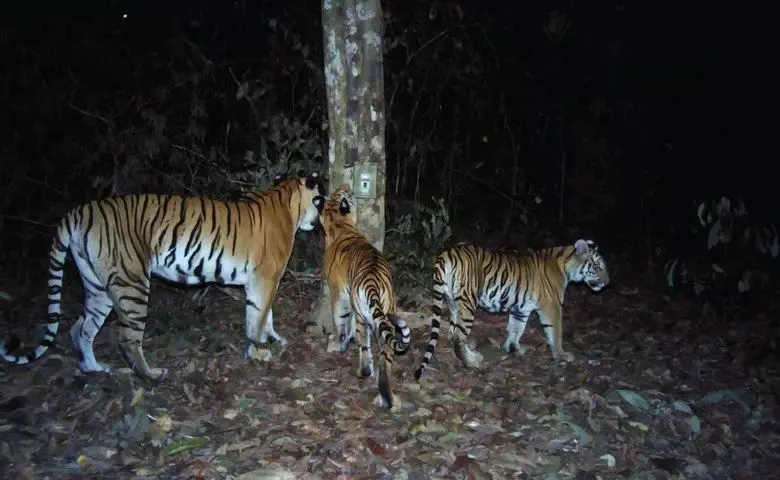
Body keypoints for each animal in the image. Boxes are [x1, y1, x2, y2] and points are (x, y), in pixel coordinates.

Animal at [1, 171, 325, 380]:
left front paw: (273, 339)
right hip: (132, 283)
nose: (319, 223)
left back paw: (95, 369)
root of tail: (77, 212)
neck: (286, 201)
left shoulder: (262, 280)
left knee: (80, 328)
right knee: (126, 337)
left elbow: (265, 314)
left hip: (97, 286)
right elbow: (257, 316)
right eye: (320, 200)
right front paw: (259, 350)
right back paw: (151, 375)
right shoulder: (265, 278)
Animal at [315, 184, 412, 409]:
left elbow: (343, 323)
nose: (346, 185)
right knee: (386, 354)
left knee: (365, 347)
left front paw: (340, 344)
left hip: (363, 316)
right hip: (388, 313)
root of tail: (373, 282)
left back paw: (364, 372)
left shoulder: (340, 294)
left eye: (342, 193)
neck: (340, 225)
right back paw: (385, 391)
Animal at [414, 239, 609, 380]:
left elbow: (516, 329)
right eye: (598, 266)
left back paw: (473, 357)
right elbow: (556, 333)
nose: (608, 283)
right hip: (468, 302)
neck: (566, 266)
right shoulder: (552, 307)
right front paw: (561, 356)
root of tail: (447, 253)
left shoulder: (521, 308)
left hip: (454, 303)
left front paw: (514, 349)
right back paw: (471, 363)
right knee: (458, 336)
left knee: (452, 333)